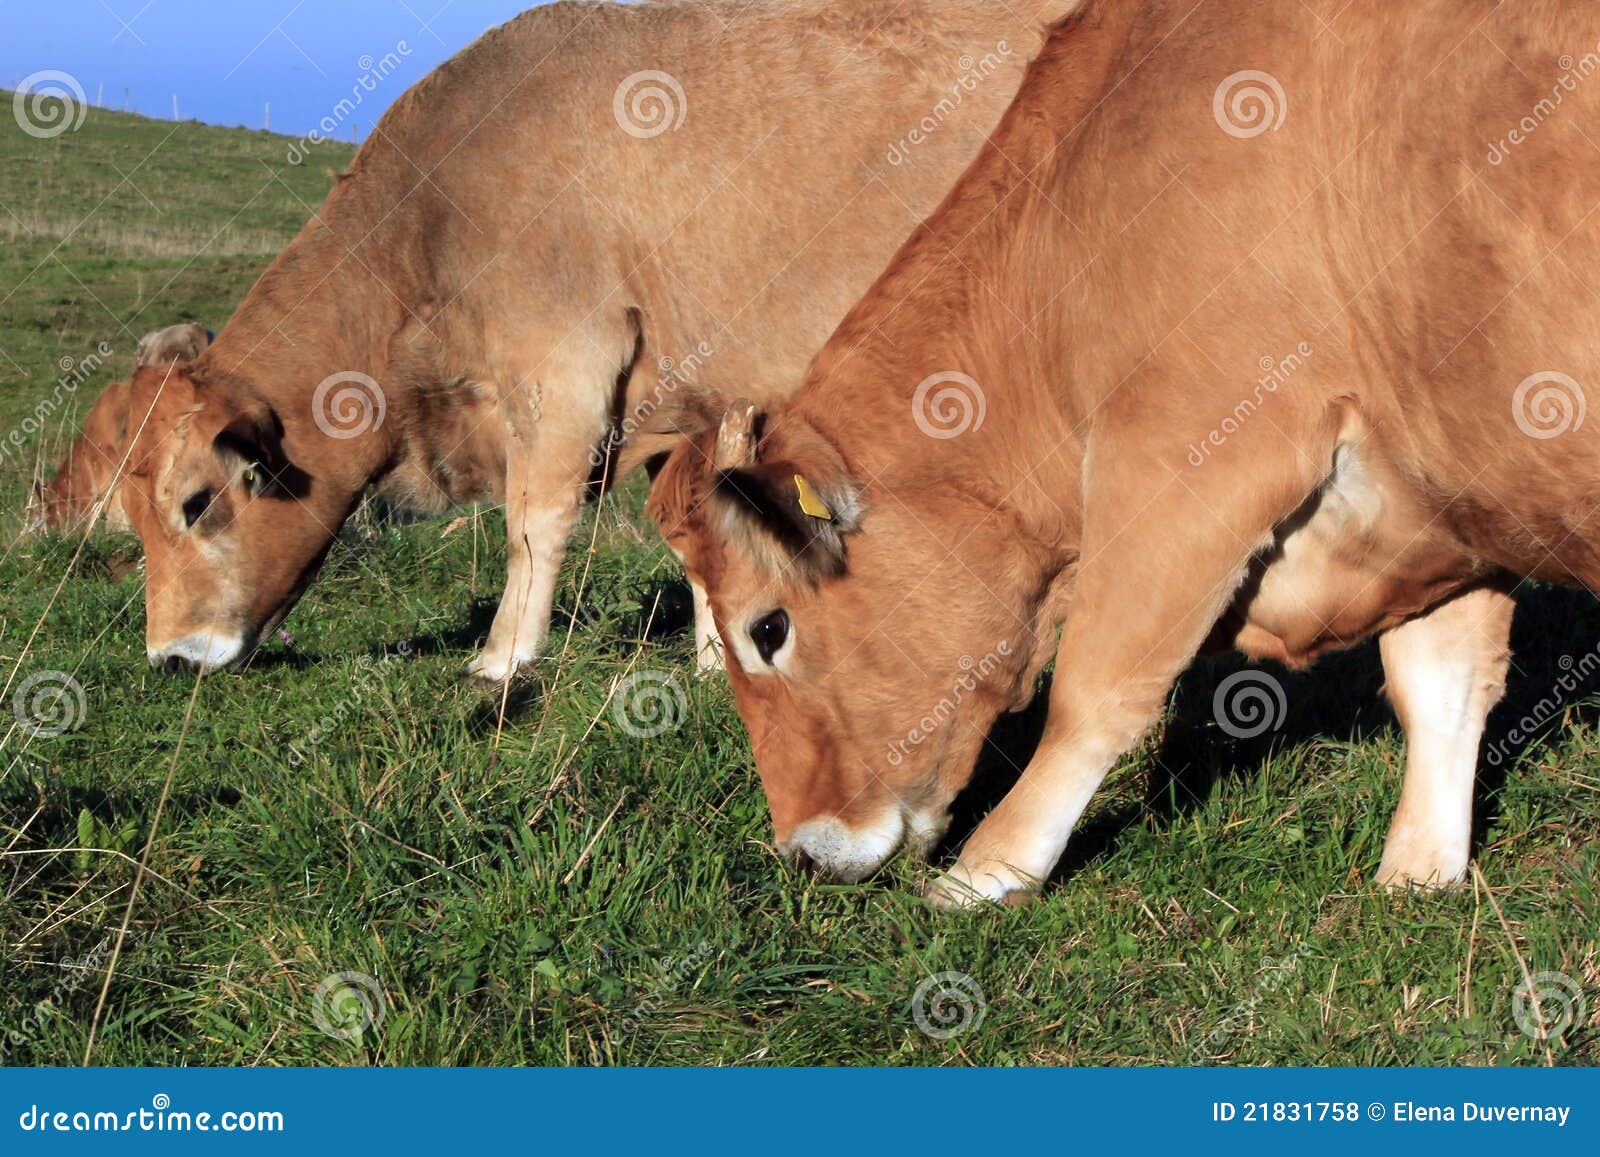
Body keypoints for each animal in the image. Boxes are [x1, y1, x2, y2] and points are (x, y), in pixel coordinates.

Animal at [112, 0, 1071, 678]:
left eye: (194, 502)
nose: (169, 657)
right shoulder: (676, 391)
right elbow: (691, 529)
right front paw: (716, 659)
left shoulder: (560, 368)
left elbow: (532, 525)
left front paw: (502, 659)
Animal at [650, 0, 1600, 907]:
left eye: (768, 628)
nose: (802, 855)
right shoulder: (1441, 500)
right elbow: (1442, 685)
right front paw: (1417, 873)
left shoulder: (1188, 452)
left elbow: (1093, 687)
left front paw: (984, 873)